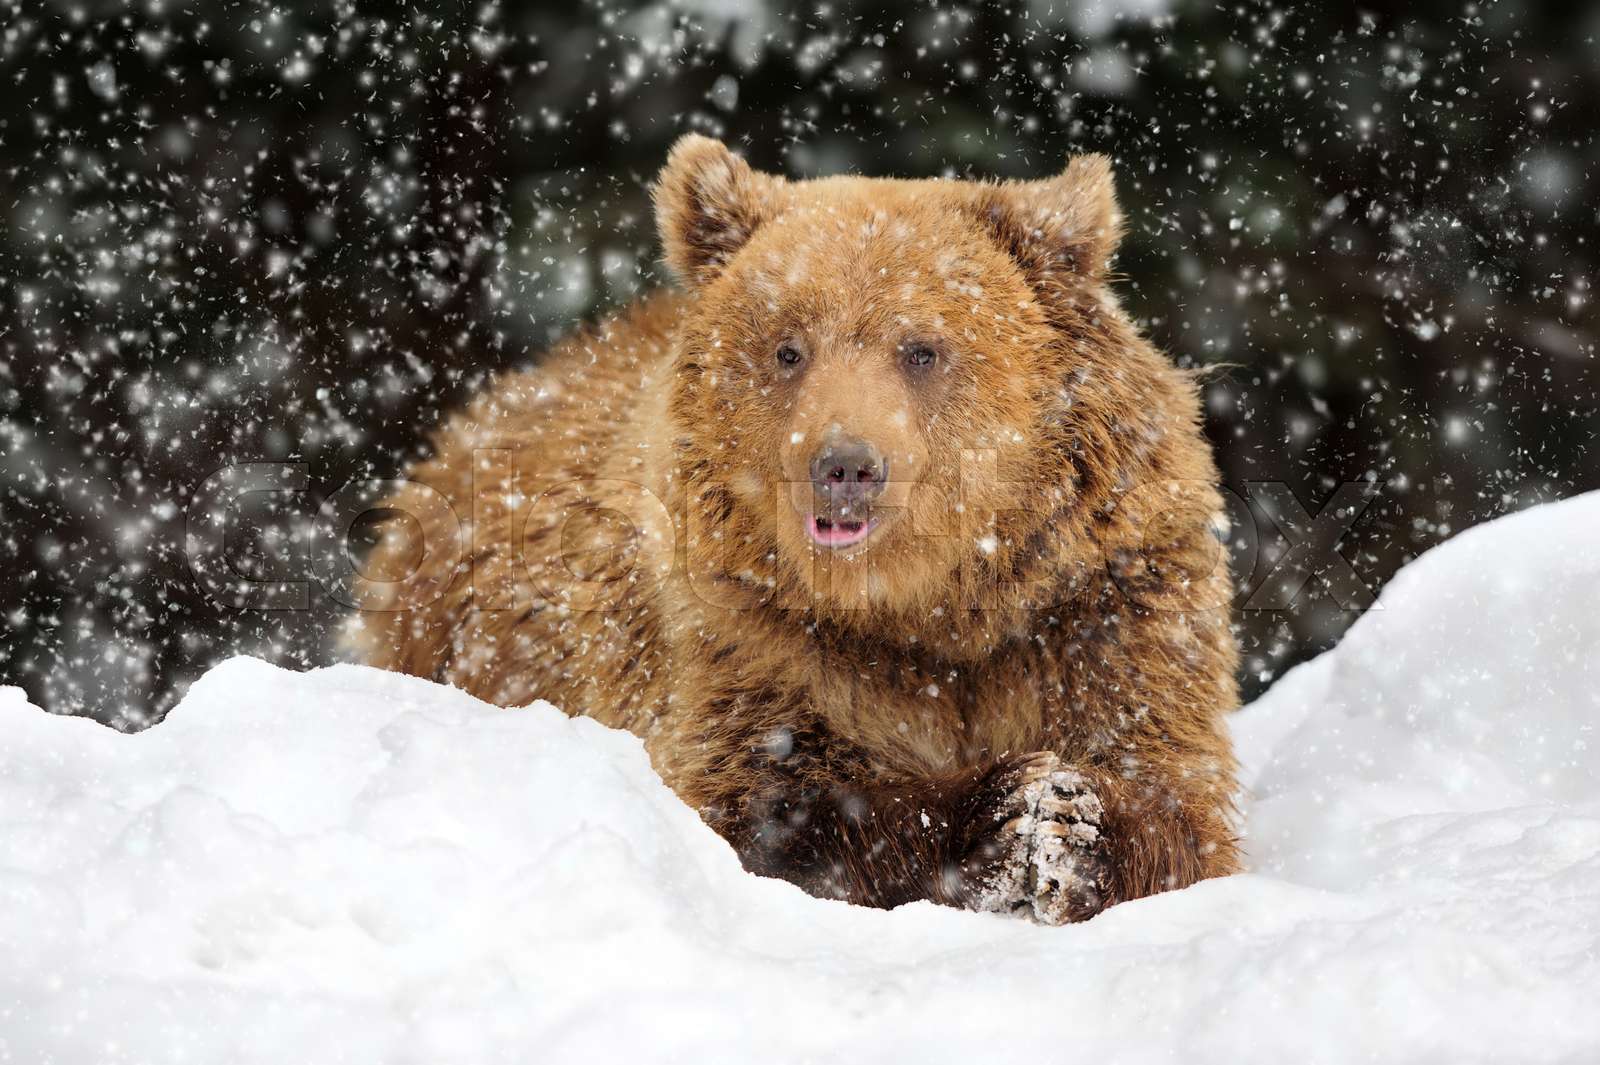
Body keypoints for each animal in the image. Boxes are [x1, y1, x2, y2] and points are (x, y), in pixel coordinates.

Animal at [345, 135, 1241, 924]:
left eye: (922, 348)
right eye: (787, 347)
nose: (845, 464)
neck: (931, 608)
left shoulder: (1102, 606)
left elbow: (1176, 798)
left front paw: (1068, 821)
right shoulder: (750, 637)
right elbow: (761, 807)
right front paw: (1000, 810)